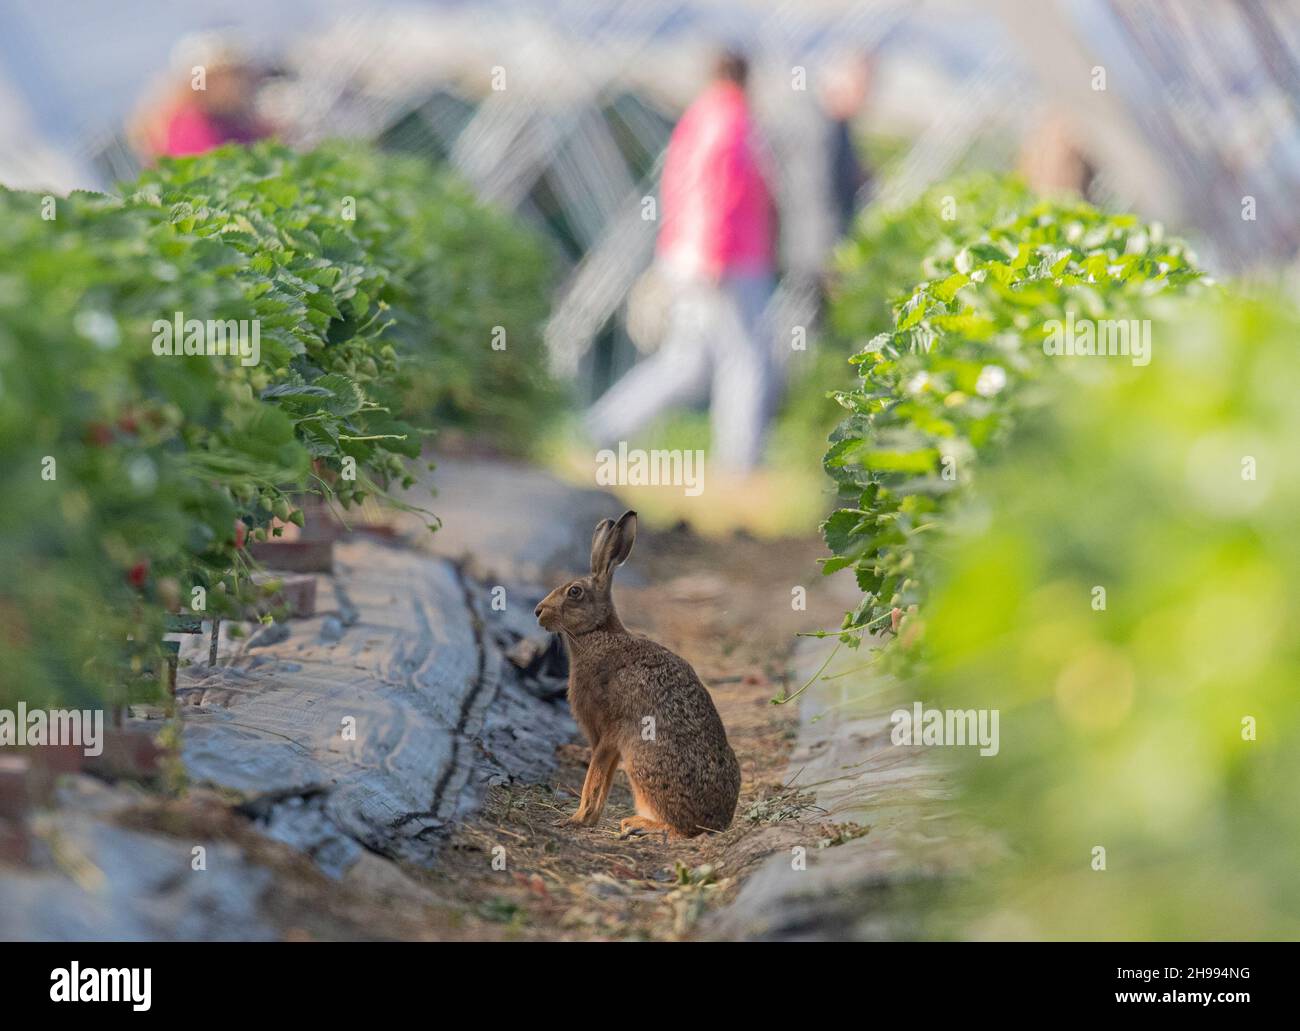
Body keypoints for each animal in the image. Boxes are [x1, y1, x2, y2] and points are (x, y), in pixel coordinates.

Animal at [534, 510, 741, 840]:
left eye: (574, 592)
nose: (538, 611)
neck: (598, 632)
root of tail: (715, 822)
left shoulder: (607, 733)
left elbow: (593, 777)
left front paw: (577, 819)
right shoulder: (608, 742)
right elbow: (603, 780)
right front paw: (589, 818)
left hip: (643, 758)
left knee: (678, 827)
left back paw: (636, 823)